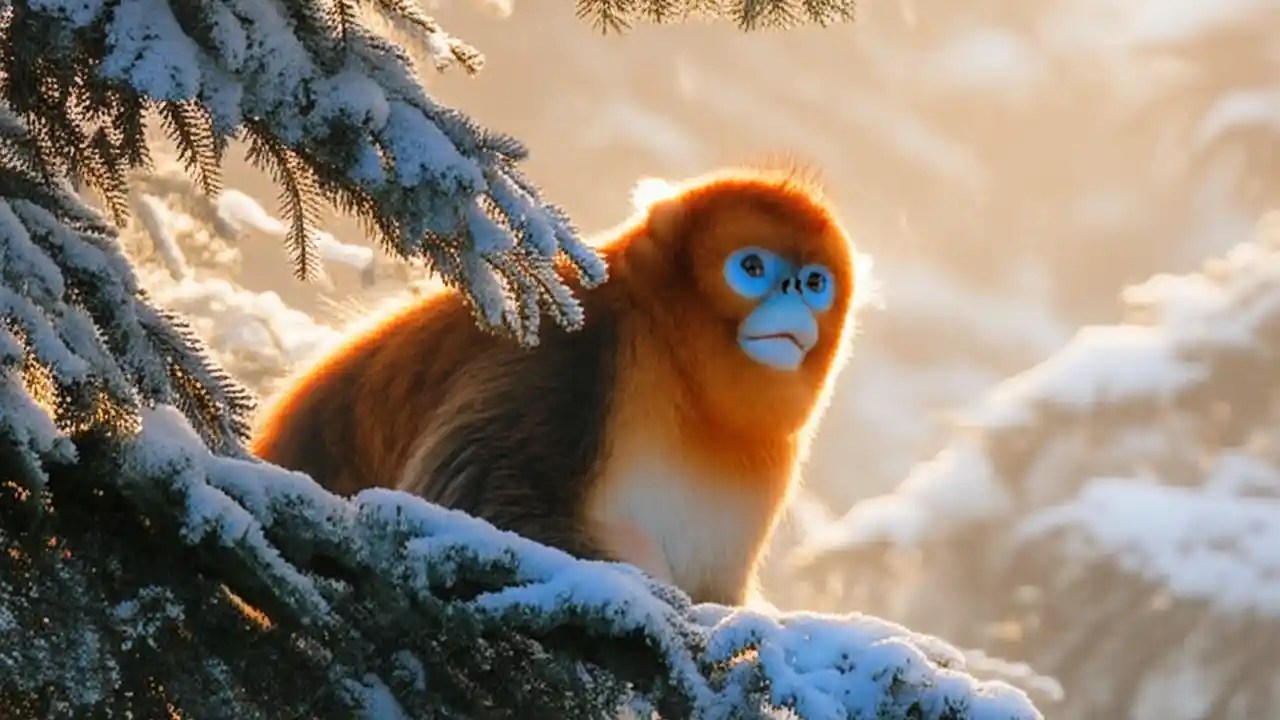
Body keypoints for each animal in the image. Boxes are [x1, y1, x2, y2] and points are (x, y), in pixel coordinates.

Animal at [249, 166, 859, 605]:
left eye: (814, 282)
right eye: (752, 267)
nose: (794, 292)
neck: (673, 362)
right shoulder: (571, 352)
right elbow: (475, 504)